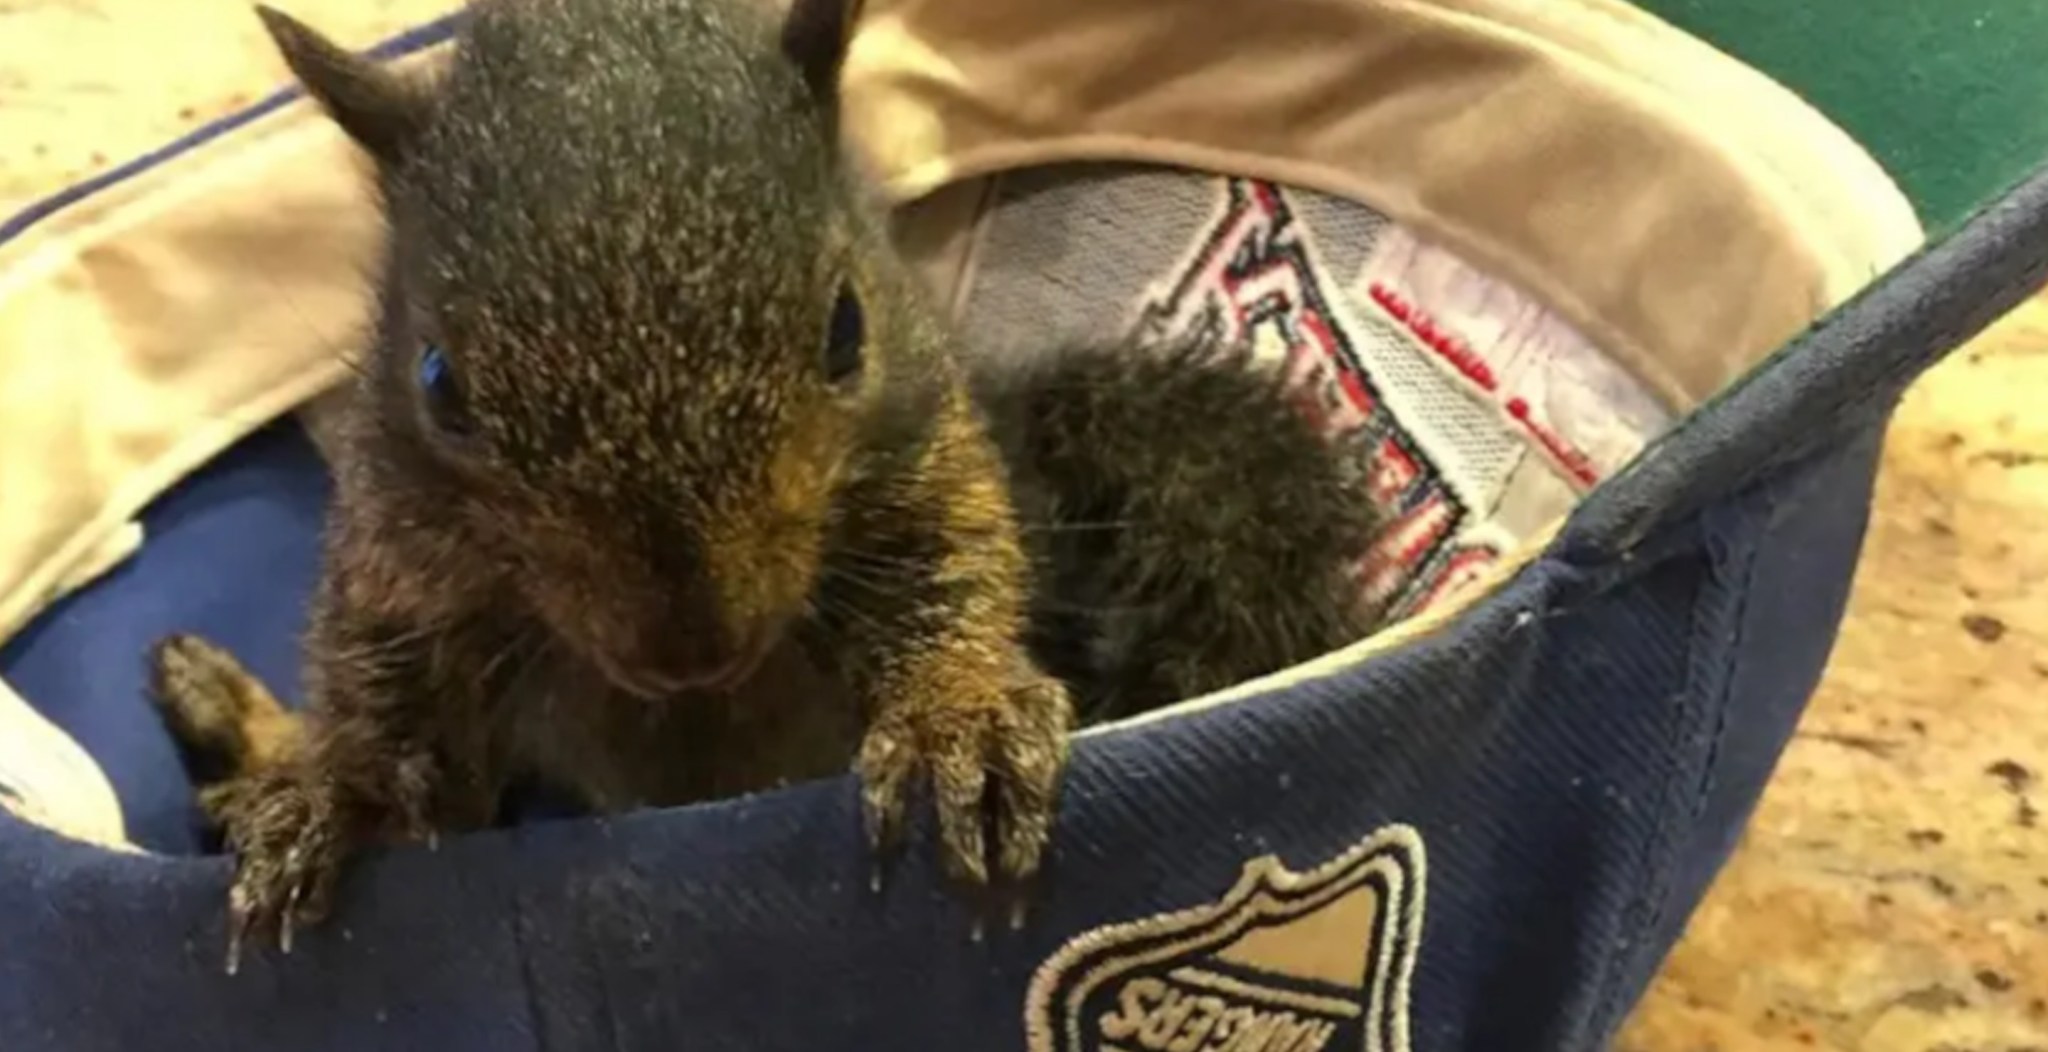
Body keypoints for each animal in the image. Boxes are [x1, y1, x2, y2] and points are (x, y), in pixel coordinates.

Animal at [148, 0, 1389, 969]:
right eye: (437, 382)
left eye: (845, 328)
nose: (688, 646)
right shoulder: (398, 555)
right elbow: (391, 712)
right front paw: (331, 785)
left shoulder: (927, 460)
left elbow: (957, 569)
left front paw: (959, 717)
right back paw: (230, 730)